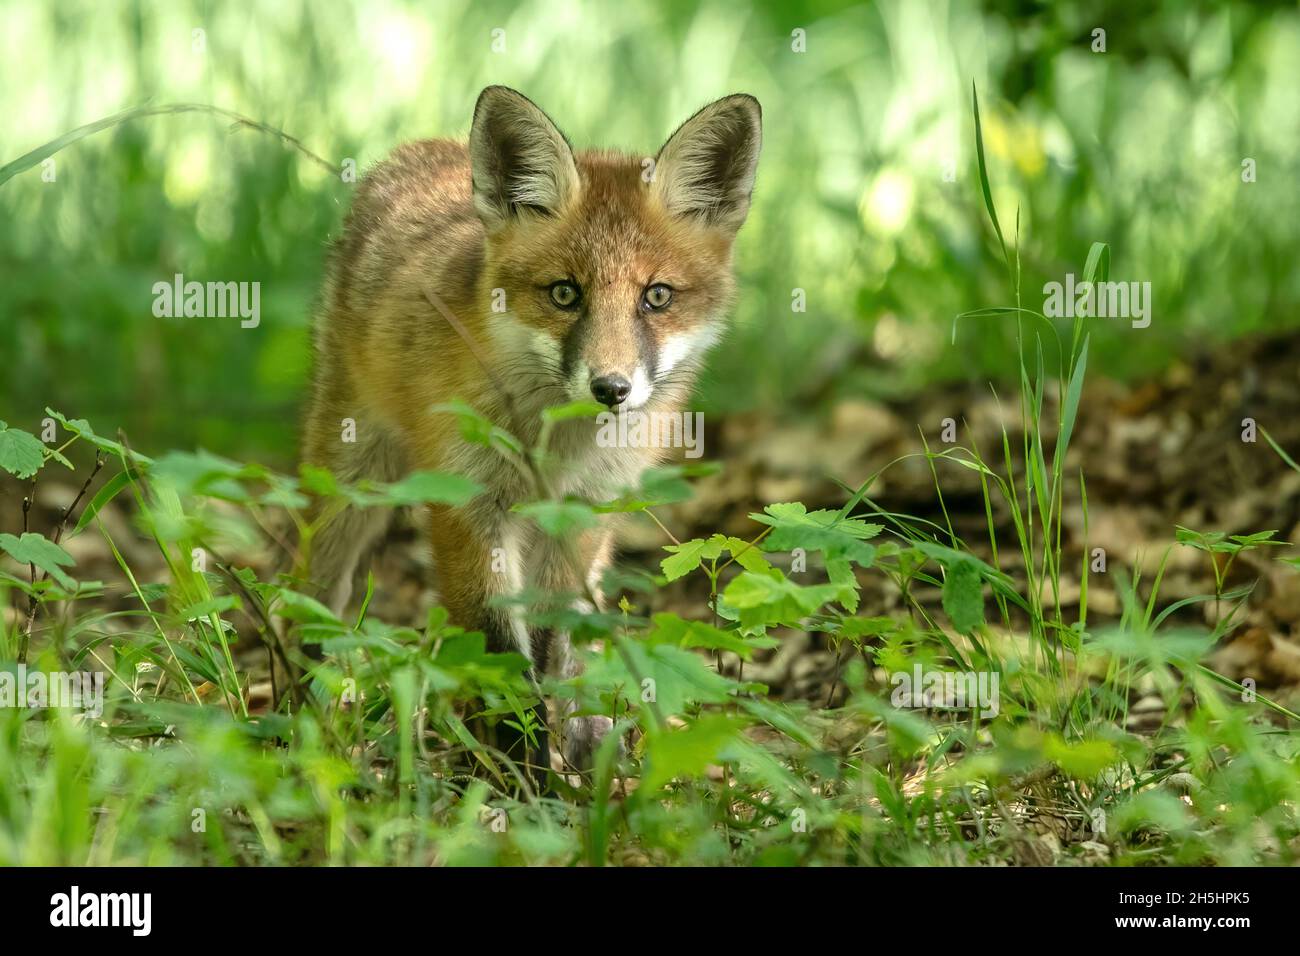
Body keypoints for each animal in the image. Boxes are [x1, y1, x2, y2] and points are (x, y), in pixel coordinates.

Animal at [299, 86, 762, 772]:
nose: (612, 389)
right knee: (309, 588)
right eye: (565, 294)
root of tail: (423, 150)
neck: (559, 450)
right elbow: (501, 657)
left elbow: (547, 645)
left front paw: (550, 765)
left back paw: (588, 730)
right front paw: (522, 775)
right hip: (350, 479)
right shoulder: (469, 505)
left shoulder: (582, 513)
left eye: (656, 296)